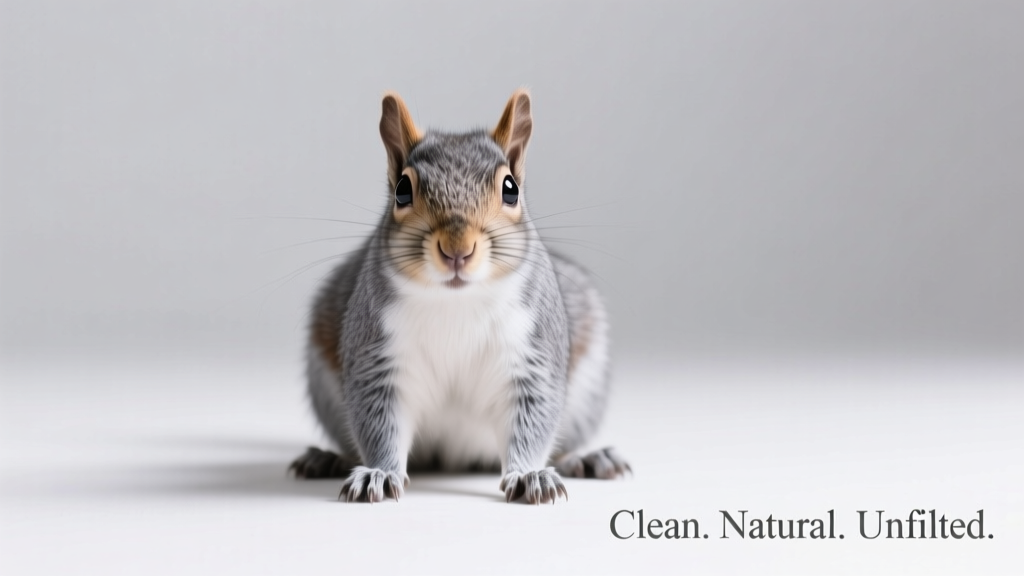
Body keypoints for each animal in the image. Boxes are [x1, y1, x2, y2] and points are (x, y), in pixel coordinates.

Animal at [289, 90, 629, 504]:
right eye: (402, 190)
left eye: (511, 189)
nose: (457, 249)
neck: (456, 302)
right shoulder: (376, 354)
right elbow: (378, 422)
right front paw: (379, 474)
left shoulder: (532, 354)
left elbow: (533, 417)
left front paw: (529, 474)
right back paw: (327, 458)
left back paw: (589, 458)